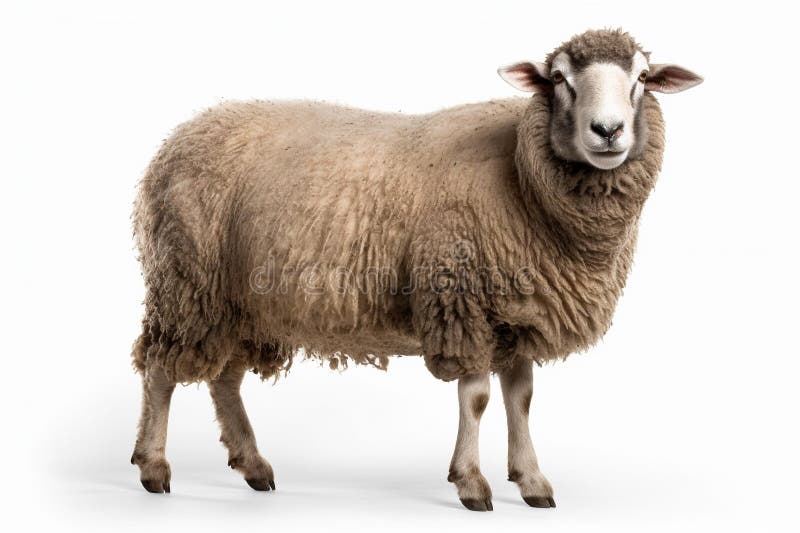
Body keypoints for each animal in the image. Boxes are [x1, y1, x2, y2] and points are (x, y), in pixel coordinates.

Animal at [130, 28, 702, 511]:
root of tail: (178, 137)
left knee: (224, 378)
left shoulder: (516, 311)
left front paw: (532, 480)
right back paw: (153, 467)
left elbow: (521, 399)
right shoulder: (460, 297)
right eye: (559, 77)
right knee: (160, 368)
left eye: (642, 78)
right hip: (187, 282)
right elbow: (477, 398)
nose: (608, 131)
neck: (520, 175)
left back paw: (252, 465)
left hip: (236, 302)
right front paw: (472, 483)